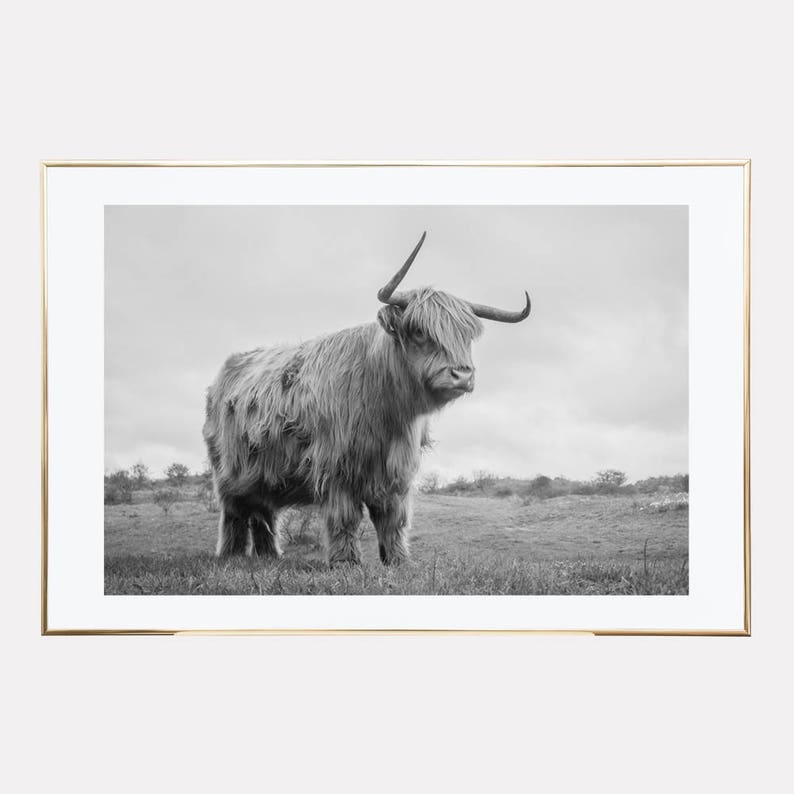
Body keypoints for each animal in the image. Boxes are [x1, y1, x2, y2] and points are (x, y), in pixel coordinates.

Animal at [202, 232, 531, 566]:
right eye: (419, 331)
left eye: (466, 336)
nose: (462, 375)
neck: (388, 413)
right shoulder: (336, 467)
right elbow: (345, 517)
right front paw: (346, 562)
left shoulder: (397, 472)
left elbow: (393, 519)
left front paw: (399, 561)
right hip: (228, 471)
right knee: (235, 512)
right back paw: (231, 555)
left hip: (263, 473)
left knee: (263, 512)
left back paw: (269, 556)